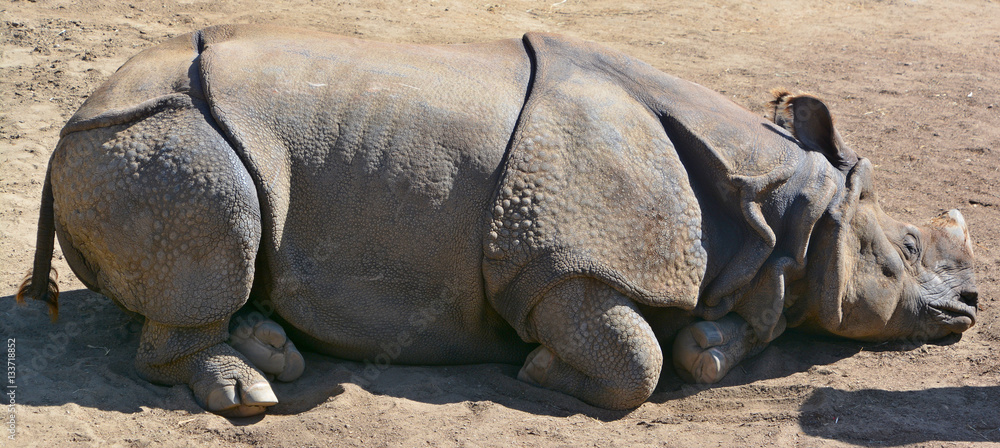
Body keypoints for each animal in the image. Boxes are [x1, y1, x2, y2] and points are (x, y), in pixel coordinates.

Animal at [17, 25, 978, 416]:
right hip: (154, 137)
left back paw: (270, 349)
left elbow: (711, 344)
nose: (969, 309)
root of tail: (73, 115)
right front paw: (543, 370)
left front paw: (707, 345)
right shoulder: (556, 261)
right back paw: (249, 393)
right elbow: (634, 363)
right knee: (210, 237)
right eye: (903, 250)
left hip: (143, 139)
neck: (779, 206)